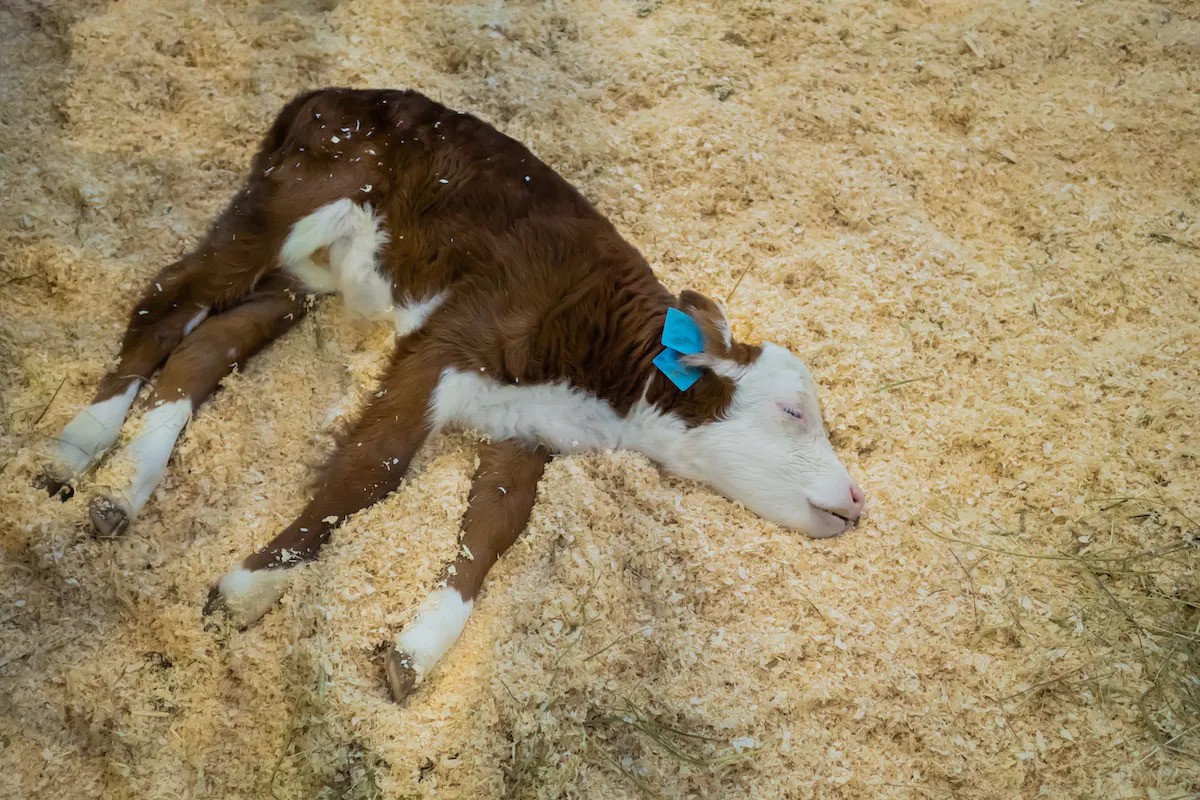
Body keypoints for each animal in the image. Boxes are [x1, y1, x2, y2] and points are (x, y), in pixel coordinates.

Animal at [35, 88, 865, 701]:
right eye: (793, 411)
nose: (857, 498)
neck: (605, 375)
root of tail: (333, 92)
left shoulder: (530, 428)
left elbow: (495, 529)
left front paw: (416, 650)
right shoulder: (444, 345)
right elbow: (369, 470)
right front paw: (249, 586)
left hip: (311, 275)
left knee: (207, 344)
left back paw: (123, 490)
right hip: (289, 204)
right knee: (170, 298)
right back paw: (79, 445)